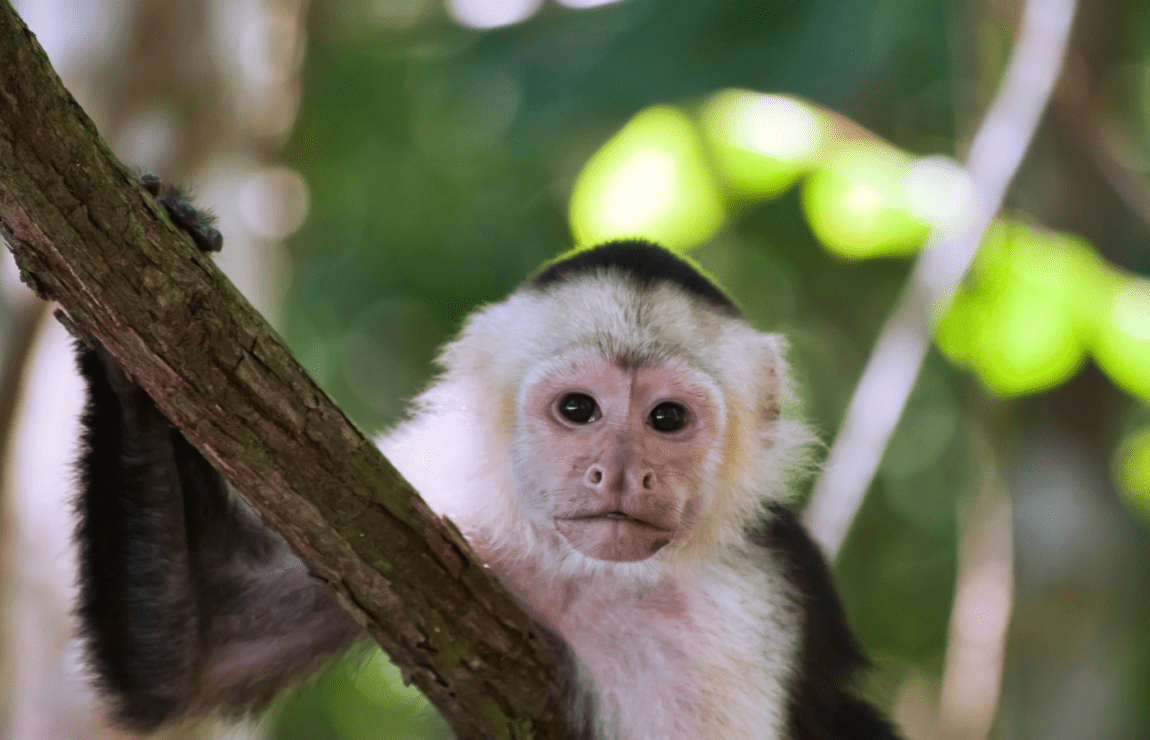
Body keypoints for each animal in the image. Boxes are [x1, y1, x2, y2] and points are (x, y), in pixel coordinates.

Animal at [73, 183, 900, 739]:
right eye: (579, 410)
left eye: (667, 419)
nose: (621, 474)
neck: (585, 574)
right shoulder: (440, 491)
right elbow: (200, 656)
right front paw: (128, 325)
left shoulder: (740, 622)